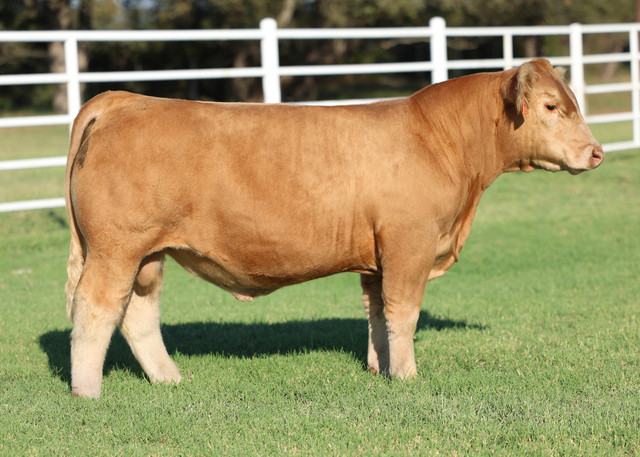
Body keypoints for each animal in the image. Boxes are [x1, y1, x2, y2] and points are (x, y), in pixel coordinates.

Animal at [64, 58, 603, 397]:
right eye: (552, 106)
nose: (596, 152)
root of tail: (124, 99)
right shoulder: (409, 244)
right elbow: (403, 313)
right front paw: (407, 376)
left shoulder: (377, 259)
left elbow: (378, 314)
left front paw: (380, 368)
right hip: (116, 248)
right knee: (95, 309)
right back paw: (87, 392)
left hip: (147, 255)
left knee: (138, 312)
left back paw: (169, 379)